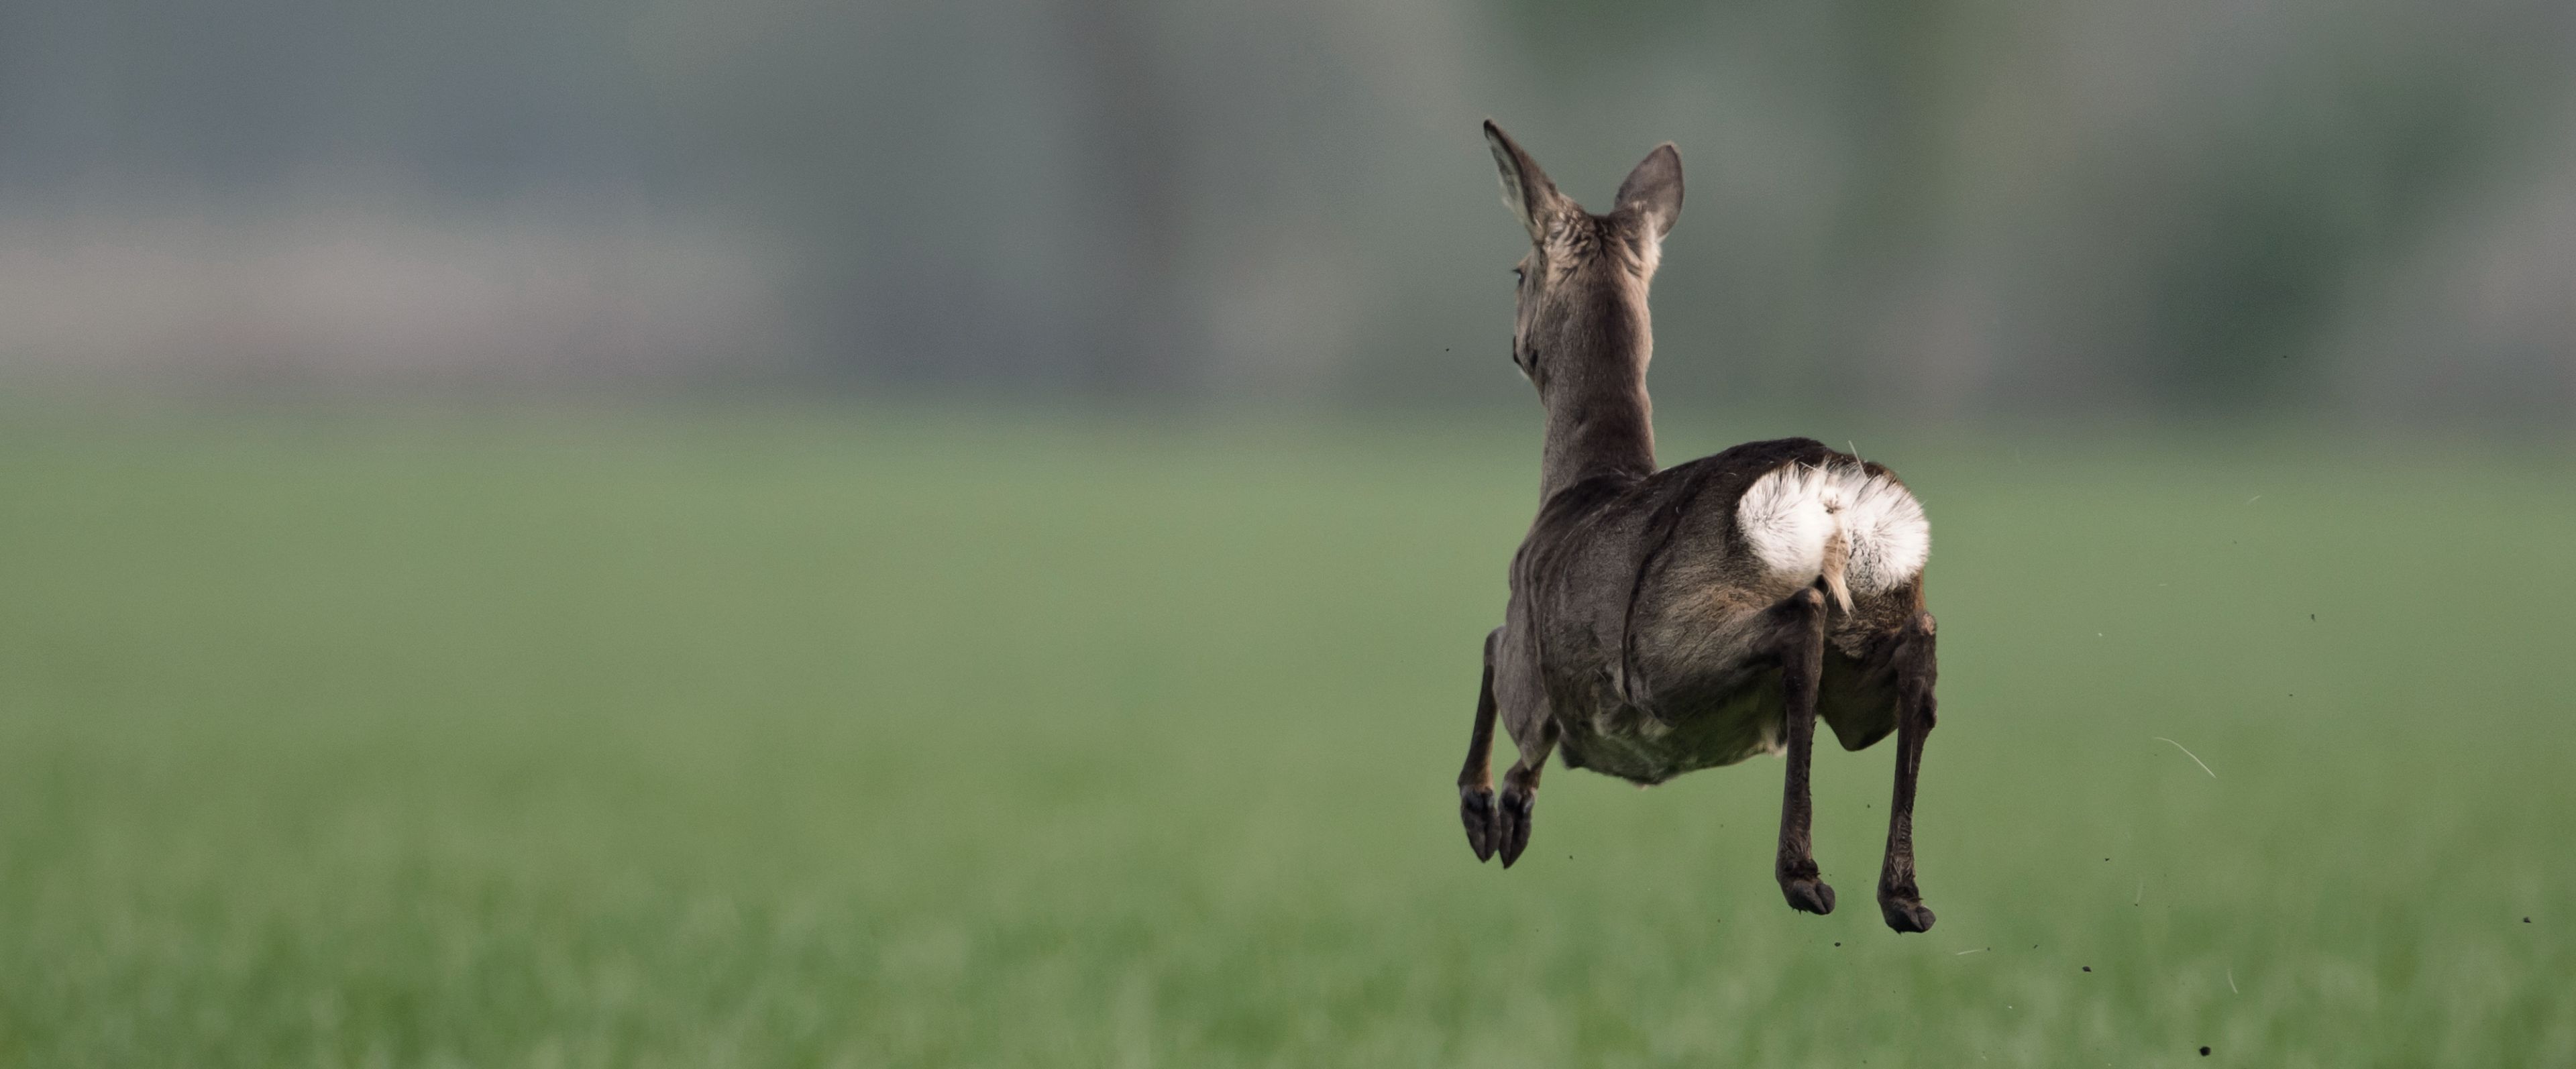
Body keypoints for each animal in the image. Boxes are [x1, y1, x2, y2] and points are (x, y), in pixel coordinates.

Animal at [1455, 121, 1941, 934]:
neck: (1577, 488)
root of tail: (1831, 492)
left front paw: (1494, 811)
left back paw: (1803, 875)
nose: (1515, 345)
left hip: (1664, 658)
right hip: (1868, 656)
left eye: (1516, 271)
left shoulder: (1532, 662)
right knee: (1915, 663)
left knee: (1800, 621)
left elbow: (1491, 651)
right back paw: (1900, 895)